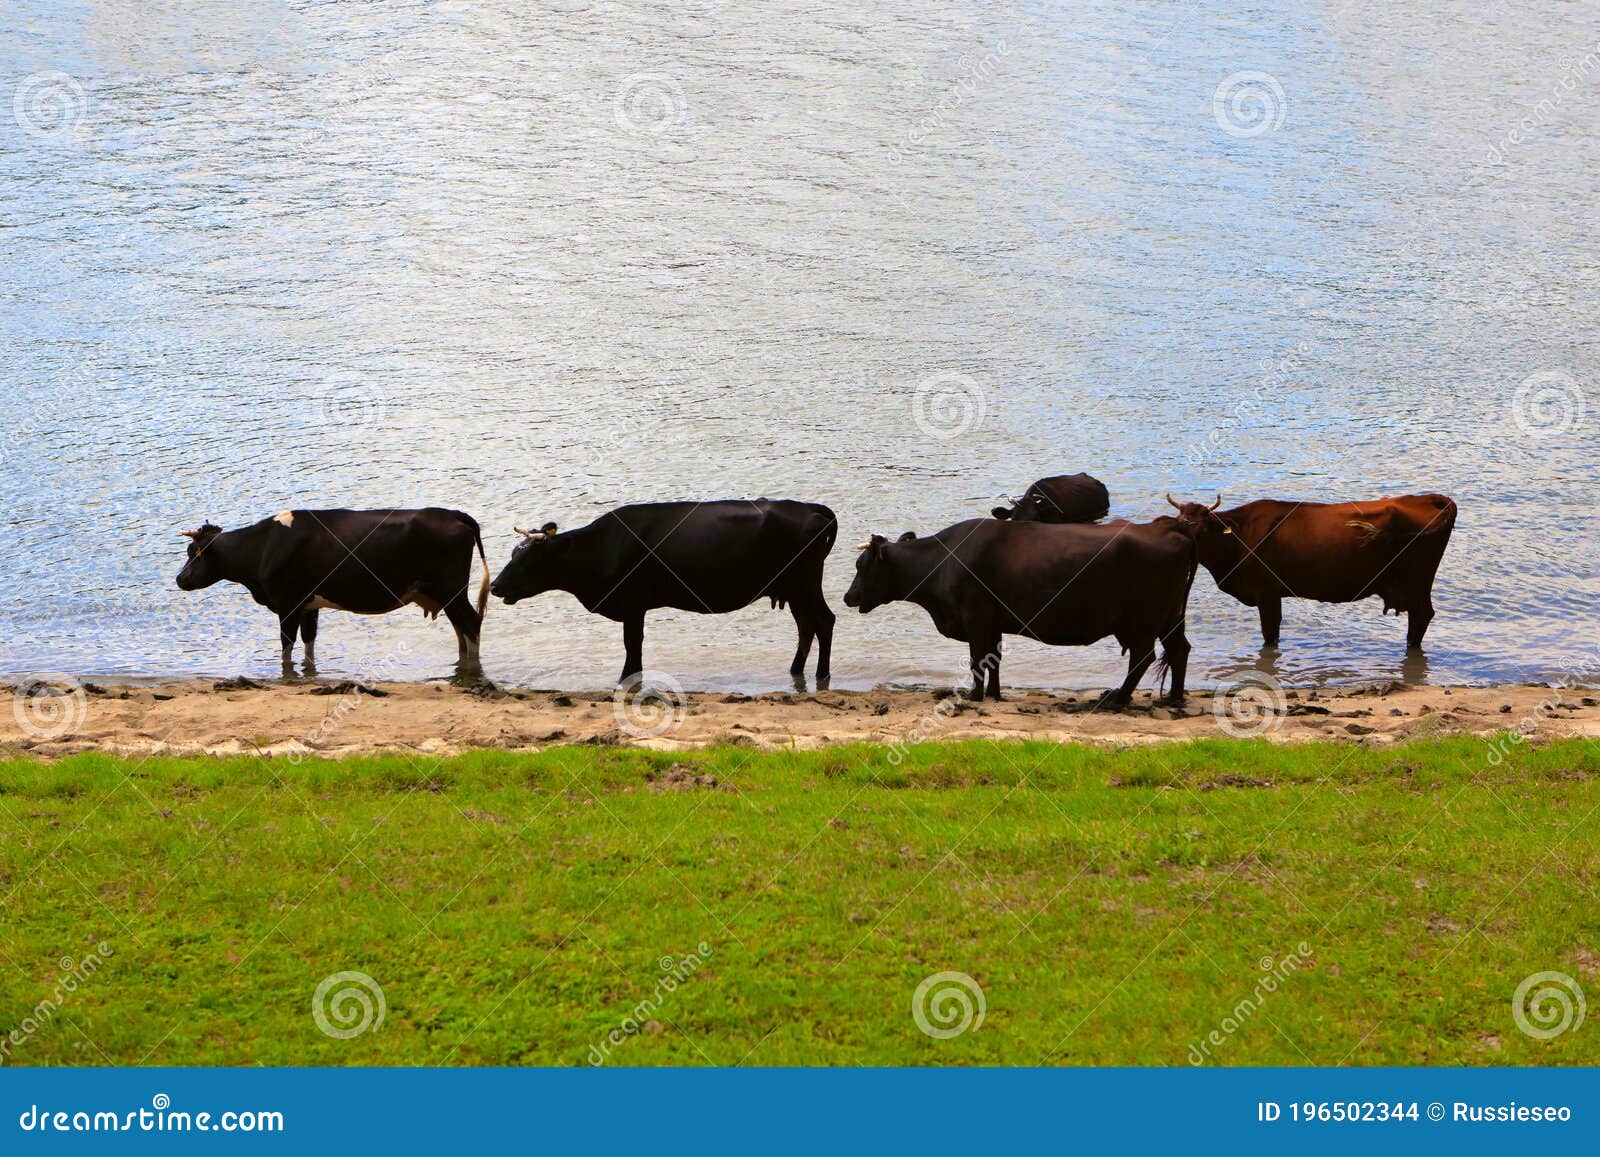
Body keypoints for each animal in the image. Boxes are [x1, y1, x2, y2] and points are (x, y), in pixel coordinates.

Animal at [175, 508, 490, 676]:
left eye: (195, 553)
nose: (179, 579)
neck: (263, 546)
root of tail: (452, 514)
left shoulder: (288, 604)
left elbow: (286, 646)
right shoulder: (309, 606)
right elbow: (309, 642)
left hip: (452, 591)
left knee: (471, 623)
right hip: (446, 595)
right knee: (461, 629)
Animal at [489, 499, 838, 687]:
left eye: (530, 558)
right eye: (513, 553)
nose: (494, 586)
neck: (601, 548)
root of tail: (810, 508)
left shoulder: (633, 605)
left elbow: (633, 646)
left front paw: (626, 678)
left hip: (804, 585)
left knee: (824, 621)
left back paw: (821, 674)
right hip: (794, 590)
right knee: (806, 627)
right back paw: (795, 670)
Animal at [842, 517, 1197, 705]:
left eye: (861, 565)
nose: (848, 596)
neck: (943, 561)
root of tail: (1165, 526)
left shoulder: (976, 619)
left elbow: (976, 660)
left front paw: (975, 695)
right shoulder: (993, 623)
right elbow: (993, 660)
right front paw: (994, 694)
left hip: (1142, 622)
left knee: (1143, 657)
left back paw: (1117, 699)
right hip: (1169, 618)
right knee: (1179, 650)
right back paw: (1174, 697)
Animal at [1164, 492, 1457, 649]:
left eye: (1202, 529)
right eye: (1179, 523)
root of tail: (1430, 498)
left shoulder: (1267, 592)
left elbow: (1270, 632)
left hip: (1418, 581)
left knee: (1421, 616)